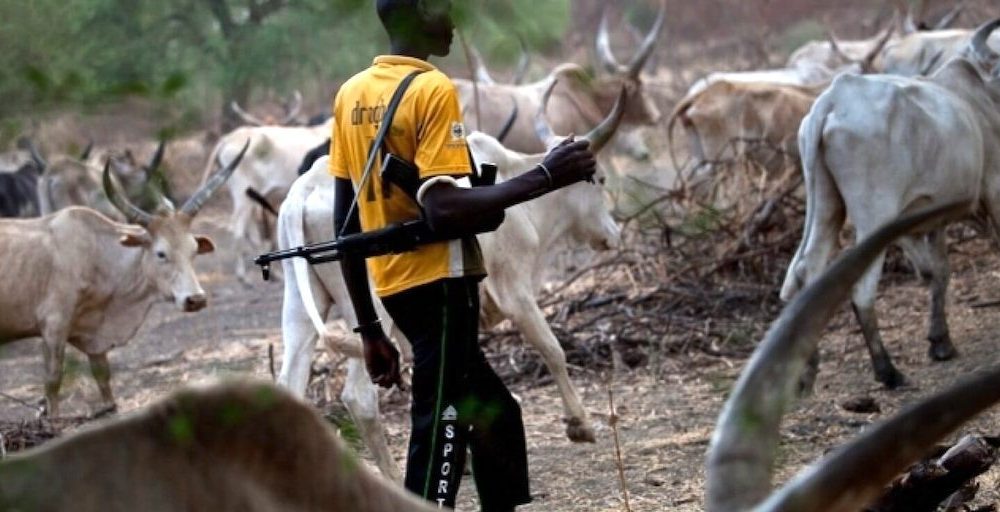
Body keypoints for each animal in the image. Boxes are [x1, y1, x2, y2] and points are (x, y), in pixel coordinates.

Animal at [0, 141, 248, 417]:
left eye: (193, 249)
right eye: (161, 253)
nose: (195, 299)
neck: (97, 253)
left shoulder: (94, 337)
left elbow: (103, 378)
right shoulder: (53, 326)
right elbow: (53, 383)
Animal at [780, 19, 1000, 389]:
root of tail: (834, 98)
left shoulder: (933, 218)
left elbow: (939, 271)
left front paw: (941, 342)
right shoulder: (994, 191)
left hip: (826, 206)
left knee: (806, 270)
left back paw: (806, 371)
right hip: (874, 217)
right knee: (861, 290)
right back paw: (888, 371)